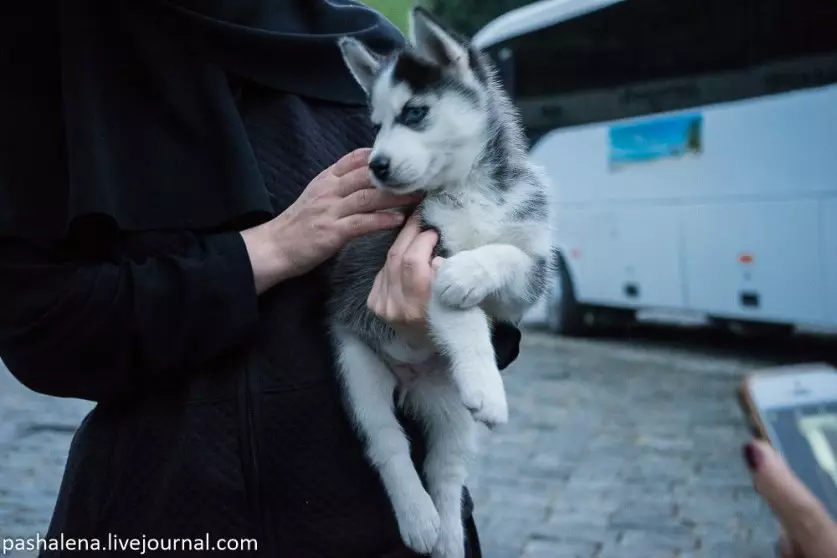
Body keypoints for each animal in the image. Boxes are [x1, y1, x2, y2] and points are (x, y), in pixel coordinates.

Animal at [328, 6, 556, 556]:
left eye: (413, 114)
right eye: (376, 124)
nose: (376, 165)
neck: (471, 187)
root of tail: (410, 381)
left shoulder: (532, 273)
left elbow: (507, 255)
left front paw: (470, 270)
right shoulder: (420, 257)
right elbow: (466, 323)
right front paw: (490, 388)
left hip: (449, 404)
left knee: (446, 468)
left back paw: (449, 534)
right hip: (356, 365)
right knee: (388, 443)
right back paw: (418, 518)